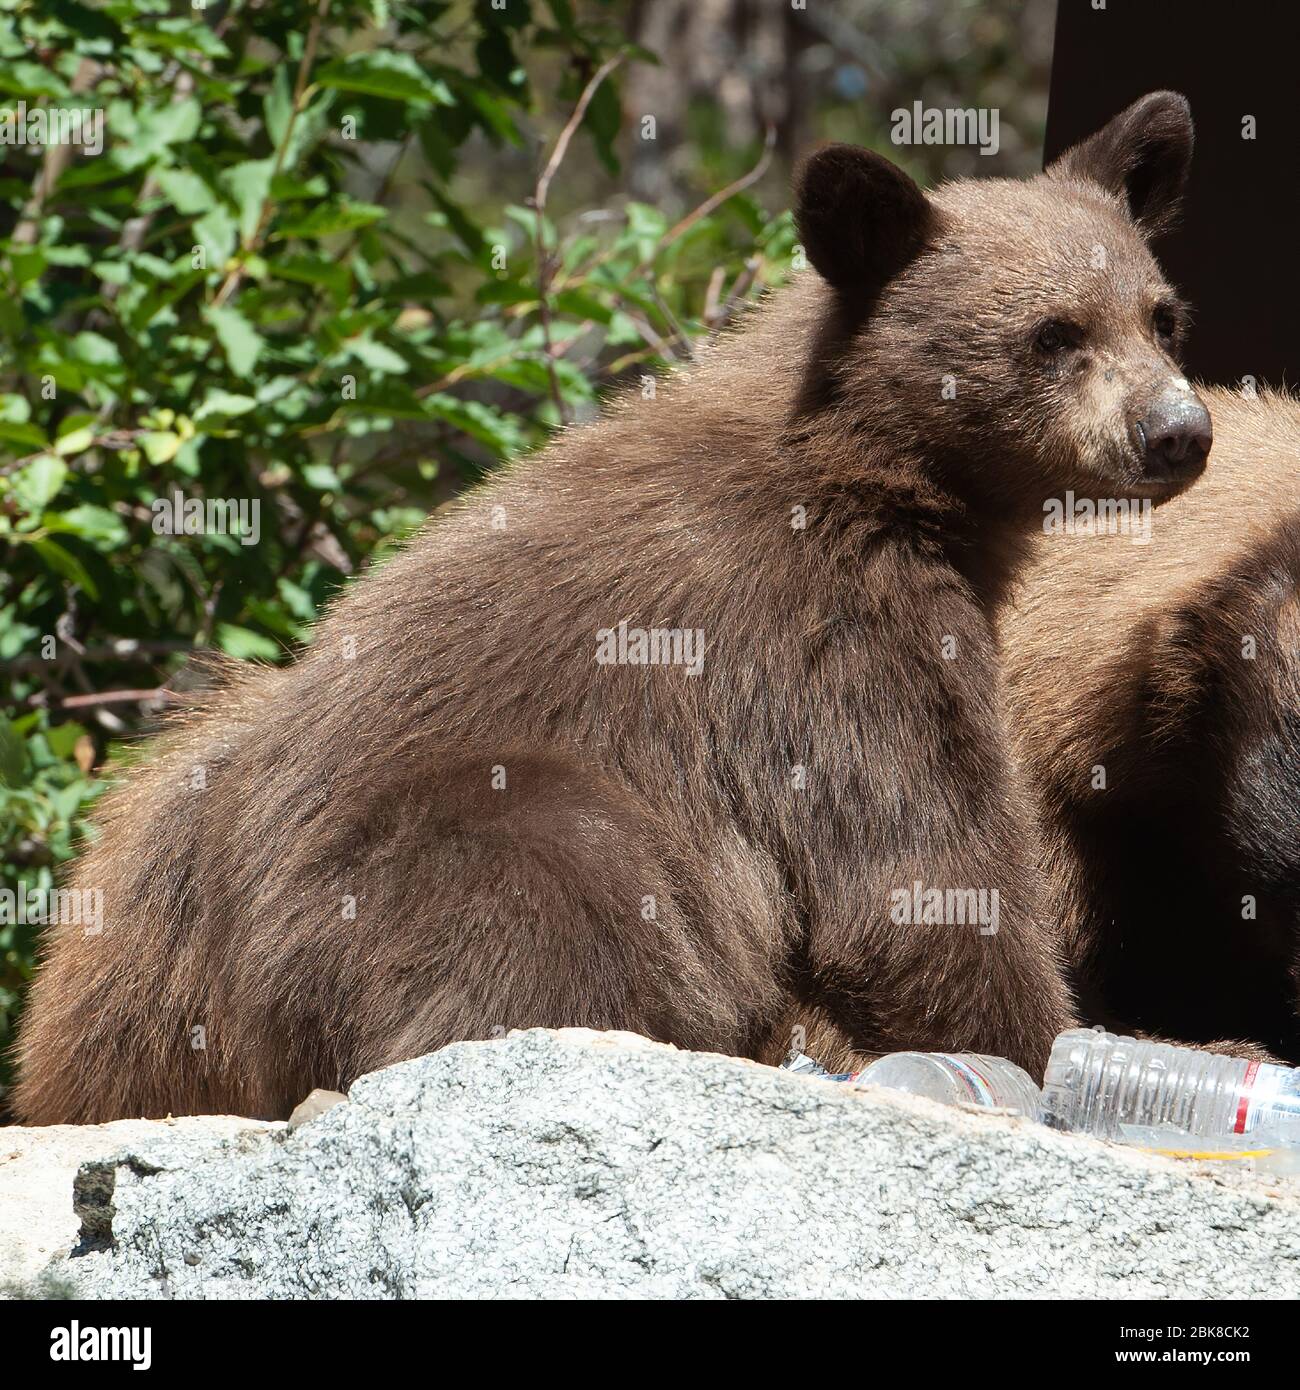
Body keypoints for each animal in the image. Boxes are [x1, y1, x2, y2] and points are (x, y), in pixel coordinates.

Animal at [11, 92, 1211, 1124]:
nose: (1178, 432)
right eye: (1054, 334)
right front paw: (1059, 1048)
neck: (887, 473)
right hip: (422, 859)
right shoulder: (836, 630)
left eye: (1161, 316)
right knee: (560, 884)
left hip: (147, 868)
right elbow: (919, 878)